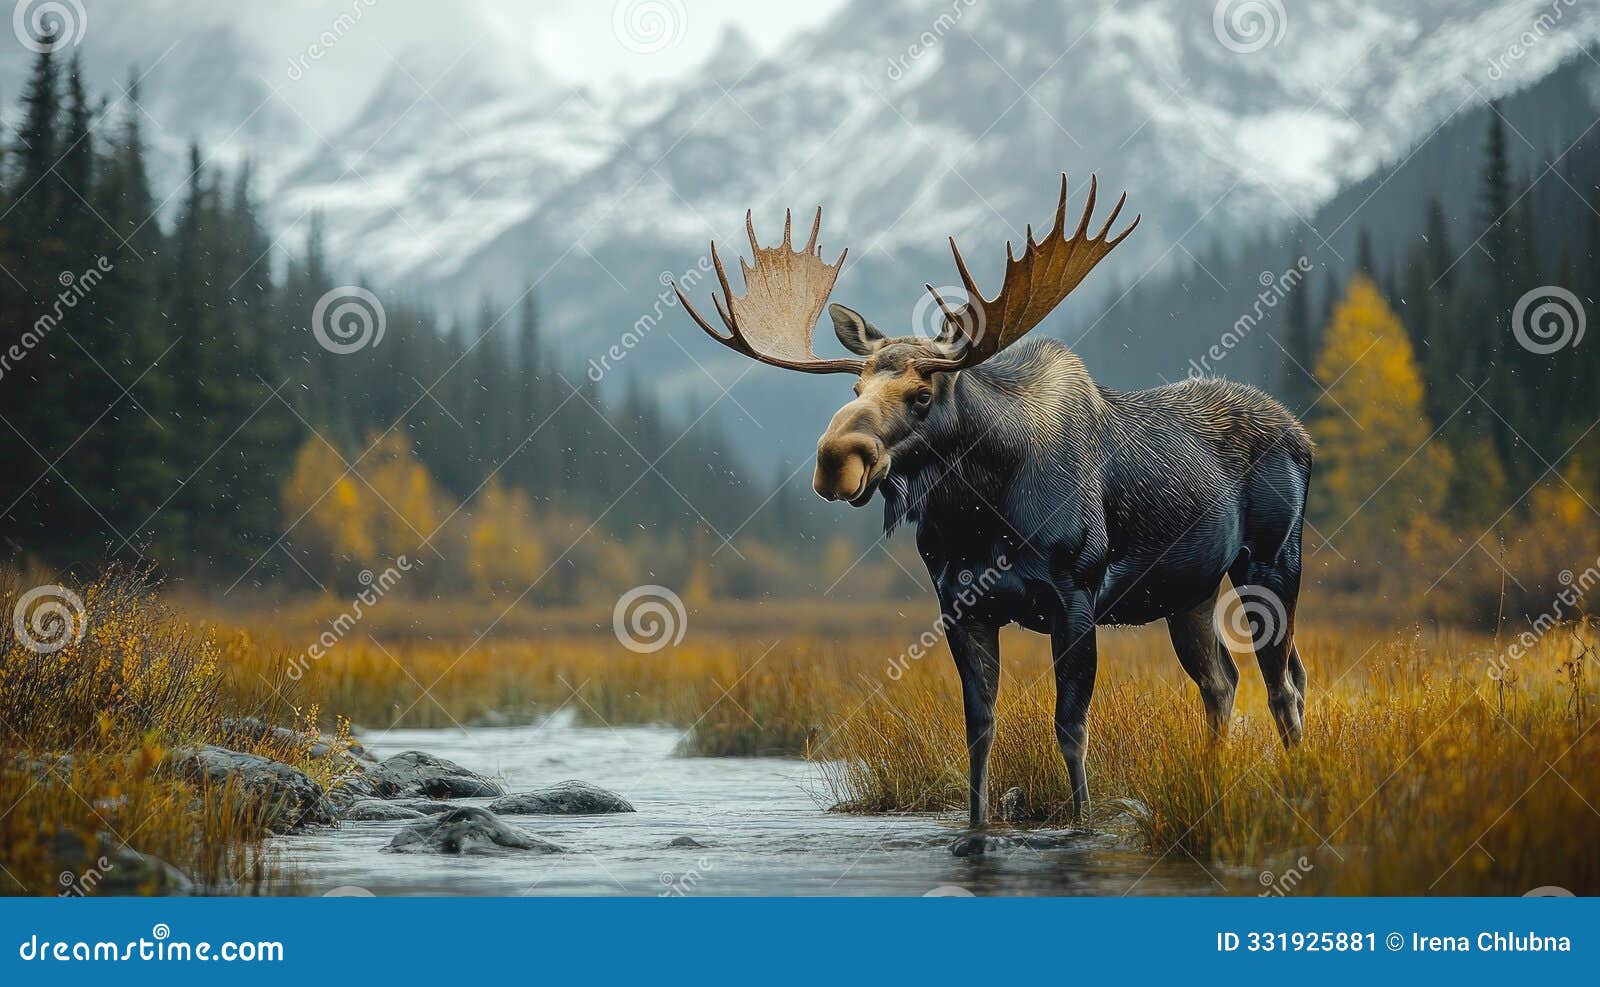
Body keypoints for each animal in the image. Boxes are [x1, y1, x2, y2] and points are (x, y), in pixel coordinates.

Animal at [672, 175, 1312, 851]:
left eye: (921, 394)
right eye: (854, 388)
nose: (834, 459)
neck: (983, 515)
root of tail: (1304, 435)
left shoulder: (1075, 595)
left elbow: (1070, 726)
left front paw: (1081, 824)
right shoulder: (960, 605)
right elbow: (979, 727)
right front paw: (976, 829)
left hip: (1272, 562)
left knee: (1283, 684)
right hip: (1188, 590)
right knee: (1222, 683)